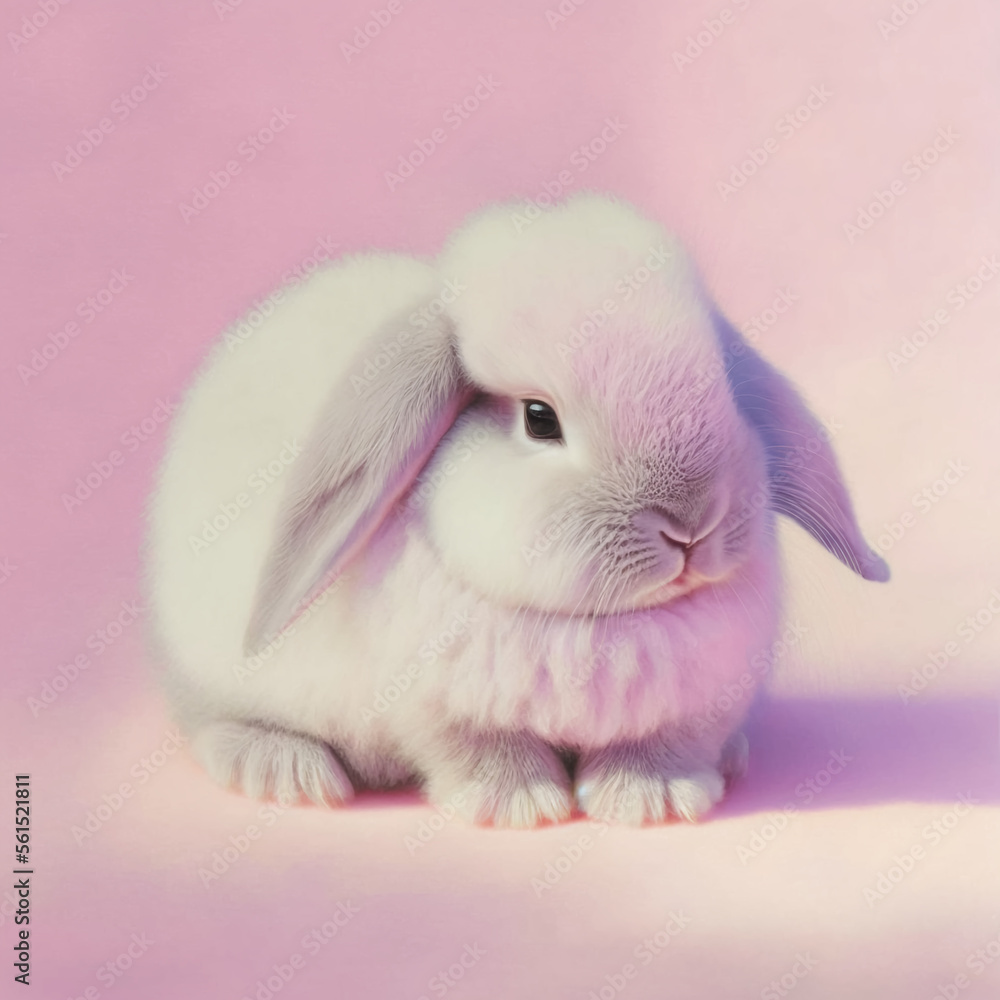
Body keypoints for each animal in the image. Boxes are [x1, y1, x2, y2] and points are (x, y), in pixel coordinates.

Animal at [146, 192, 889, 827]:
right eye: (539, 419)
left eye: (723, 388)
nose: (690, 524)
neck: (598, 626)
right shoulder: (435, 706)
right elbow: (478, 747)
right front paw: (520, 806)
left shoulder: (697, 701)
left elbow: (666, 742)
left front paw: (651, 799)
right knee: (208, 722)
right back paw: (283, 771)